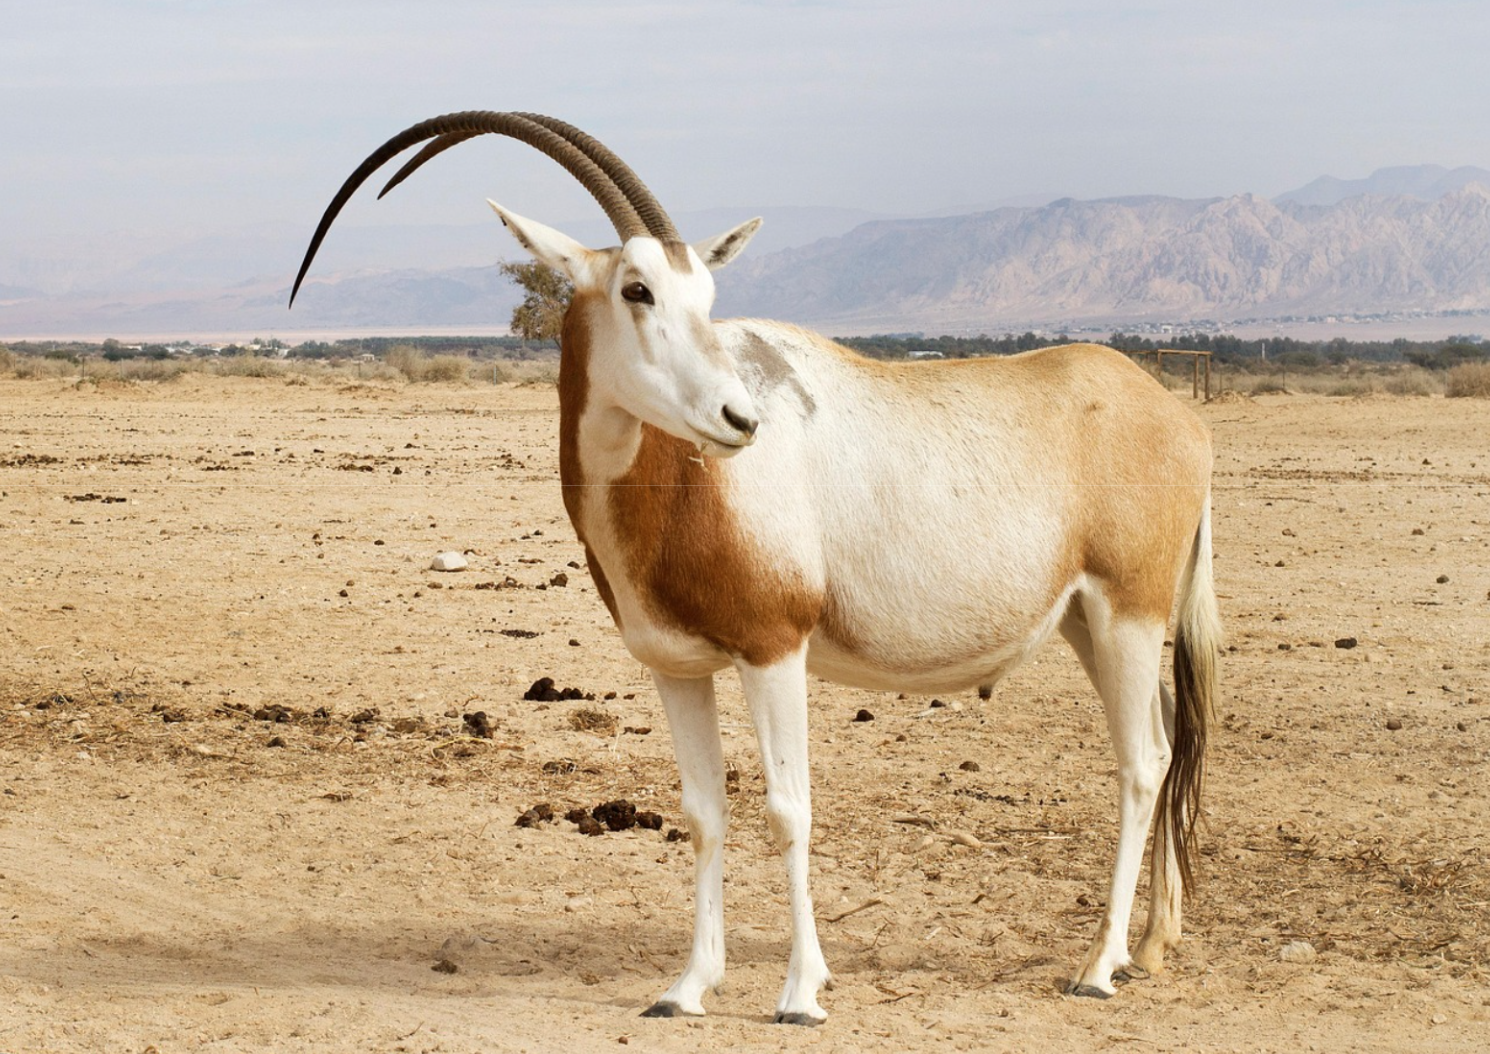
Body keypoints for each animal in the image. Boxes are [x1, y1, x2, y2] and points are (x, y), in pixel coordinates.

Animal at [291, 111, 1221, 1026]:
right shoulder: (677, 667)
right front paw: (686, 986)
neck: (682, 480)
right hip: (1084, 623)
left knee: (1142, 761)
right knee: (1170, 737)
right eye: (637, 289)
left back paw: (1098, 966)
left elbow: (787, 809)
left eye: (706, 296)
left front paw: (801, 993)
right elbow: (704, 812)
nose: (740, 419)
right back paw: (1152, 946)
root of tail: (1178, 418)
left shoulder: (775, 650)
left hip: (1128, 612)